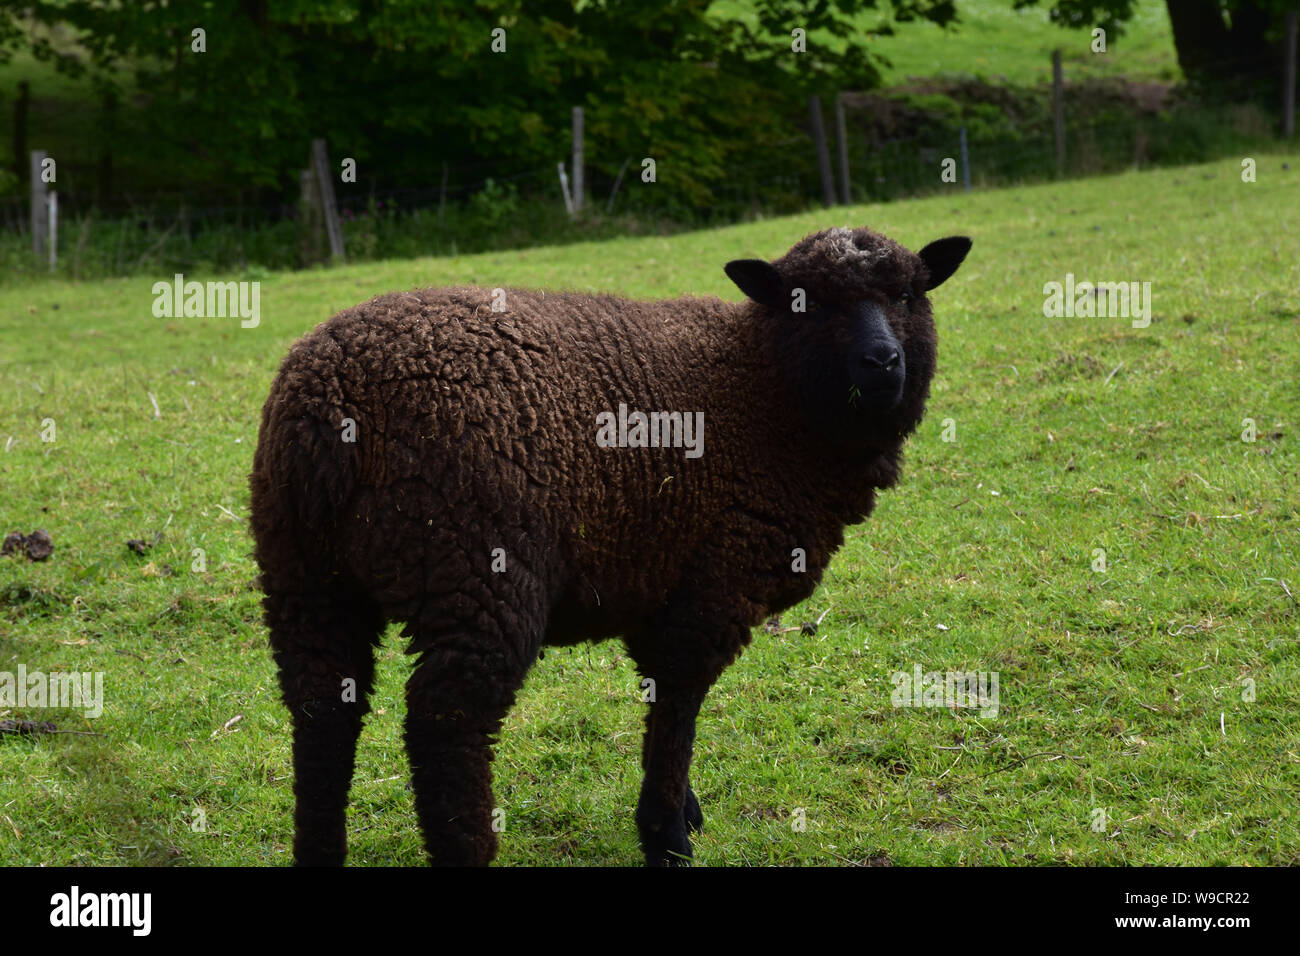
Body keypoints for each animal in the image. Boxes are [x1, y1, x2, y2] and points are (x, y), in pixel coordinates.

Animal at [249, 225, 971, 866]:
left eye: (908, 294)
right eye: (809, 302)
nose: (882, 363)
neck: (762, 386)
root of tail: (332, 401)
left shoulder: (659, 586)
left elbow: (664, 708)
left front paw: (683, 811)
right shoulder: (713, 584)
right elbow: (678, 704)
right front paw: (666, 838)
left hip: (303, 574)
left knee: (321, 712)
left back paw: (319, 852)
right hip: (473, 571)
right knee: (446, 721)